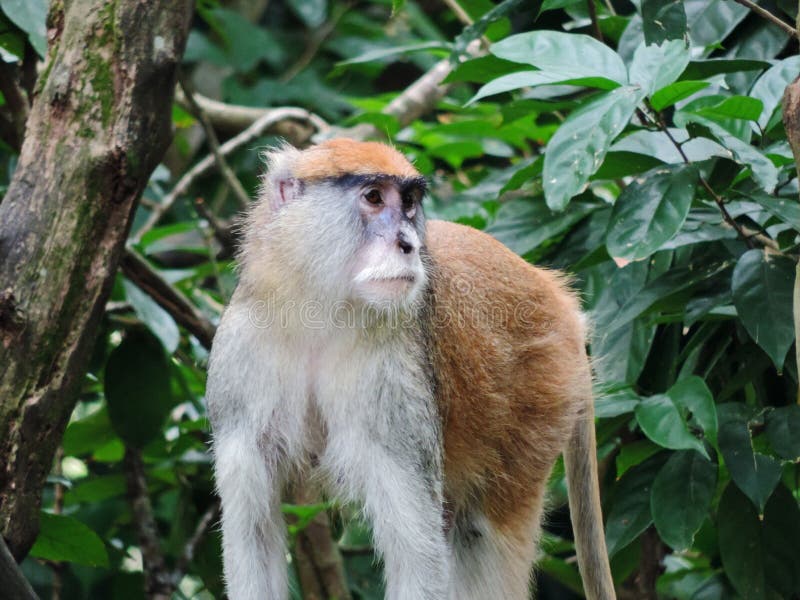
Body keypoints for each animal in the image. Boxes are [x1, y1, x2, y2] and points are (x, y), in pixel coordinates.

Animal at [205, 138, 616, 600]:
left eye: (409, 203)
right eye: (373, 197)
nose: (409, 244)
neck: (318, 312)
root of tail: (558, 301)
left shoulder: (391, 379)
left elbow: (417, 558)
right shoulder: (241, 355)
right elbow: (252, 536)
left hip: (541, 393)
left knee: (480, 532)